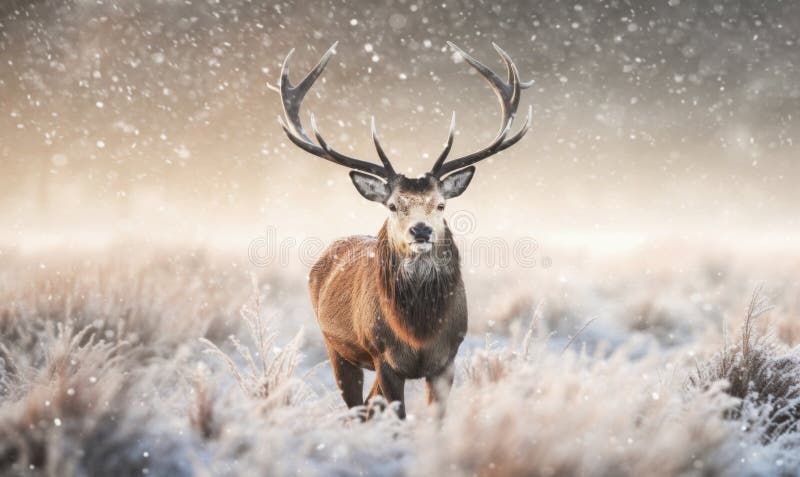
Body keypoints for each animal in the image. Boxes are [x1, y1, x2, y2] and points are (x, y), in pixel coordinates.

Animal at [272, 42, 532, 419]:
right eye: (393, 206)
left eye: (441, 205)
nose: (421, 231)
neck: (418, 331)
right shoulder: (384, 356)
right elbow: (396, 415)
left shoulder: (448, 357)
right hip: (336, 347)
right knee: (355, 407)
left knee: (367, 406)